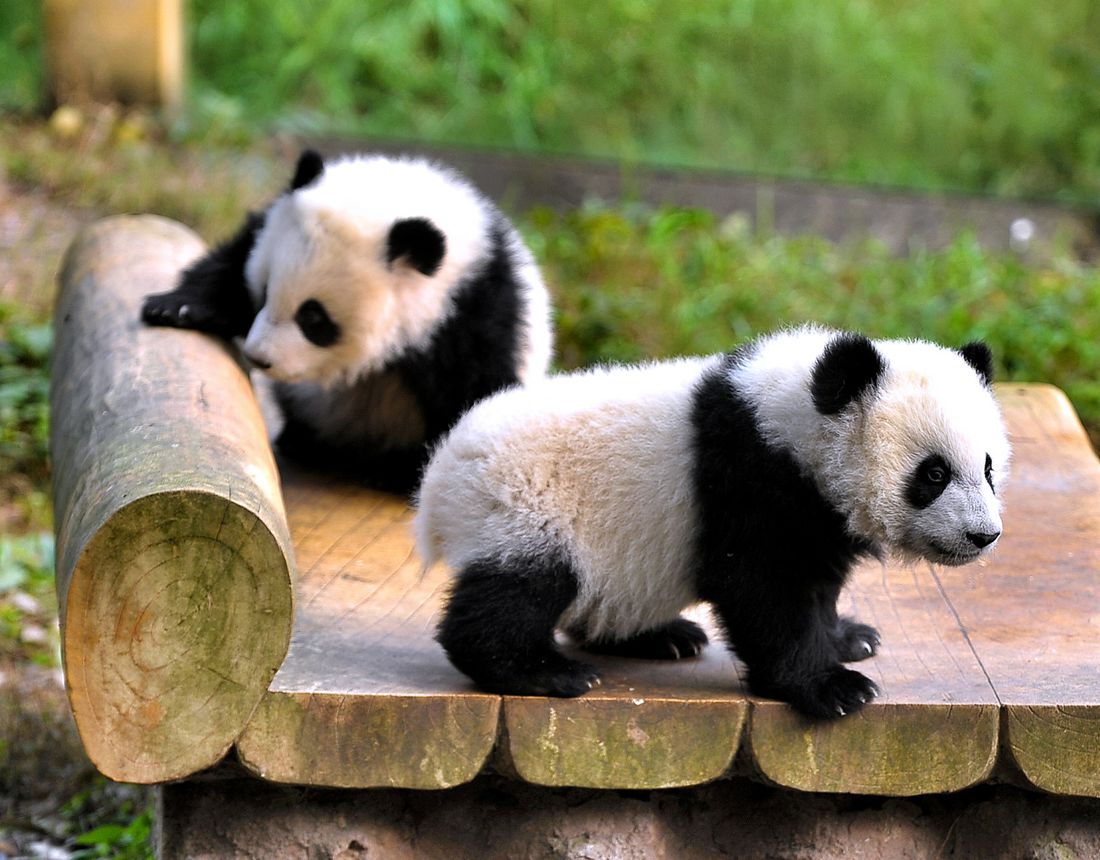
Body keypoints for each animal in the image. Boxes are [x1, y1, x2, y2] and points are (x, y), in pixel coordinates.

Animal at [142, 150, 552, 494]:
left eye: (313, 317)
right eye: (264, 291)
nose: (259, 358)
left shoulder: (472, 314)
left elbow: (473, 395)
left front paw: (409, 475)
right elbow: (233, 259)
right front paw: (175, 307)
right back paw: (304, 441)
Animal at [414, 326, 1010, 718]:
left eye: (987, 467)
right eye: (933, 473)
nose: (983, 536)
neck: (789, 418)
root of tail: (439, 476)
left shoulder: (810, 506)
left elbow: (817, 580)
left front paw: (847, 637)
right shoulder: (746, 477)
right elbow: (761, 588)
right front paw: (831, 686)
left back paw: (662, 636)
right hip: (525, 504)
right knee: (519, 591)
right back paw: (541, 670)